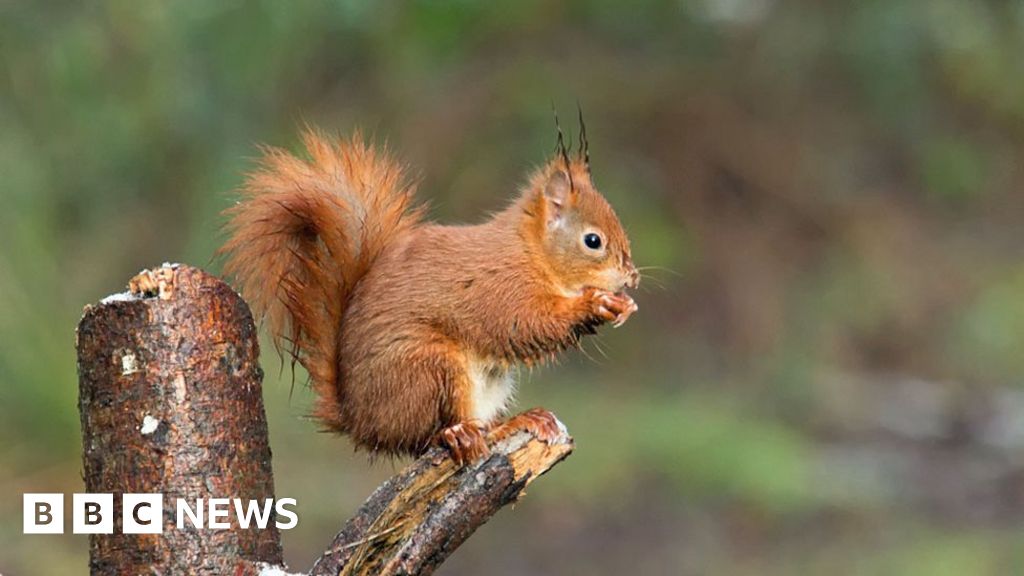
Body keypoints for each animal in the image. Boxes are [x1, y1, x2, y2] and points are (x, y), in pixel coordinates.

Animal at [220, 124, 638, 464]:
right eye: (593, 241)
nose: (632, 278)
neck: (531, 253)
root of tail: (361, 422)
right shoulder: (499, 289)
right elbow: (526, 324)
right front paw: (595, 303)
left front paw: (624, 305)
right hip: (431, 368)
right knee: (427, 435)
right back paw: (465, 433)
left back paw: (523, 419)